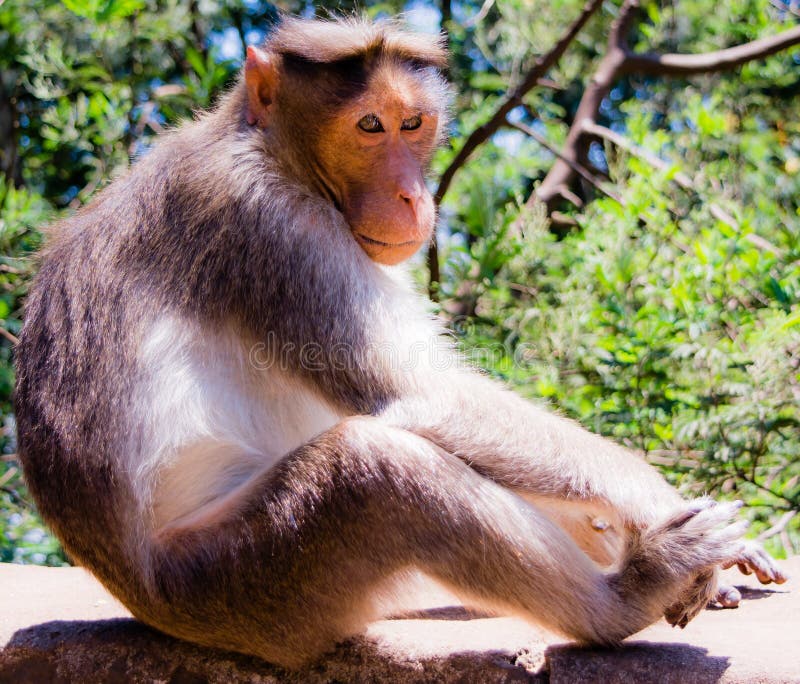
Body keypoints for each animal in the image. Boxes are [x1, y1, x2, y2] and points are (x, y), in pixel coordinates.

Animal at [13, 16, 785, 670]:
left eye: (413, 124)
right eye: (368, 125)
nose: (416, 197)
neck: (274, 151)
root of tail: (140, 596)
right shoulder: (268, 224)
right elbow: (421, 395)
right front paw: (652, 499)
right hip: (240, 594)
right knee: (376, 471)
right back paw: (624, 599)